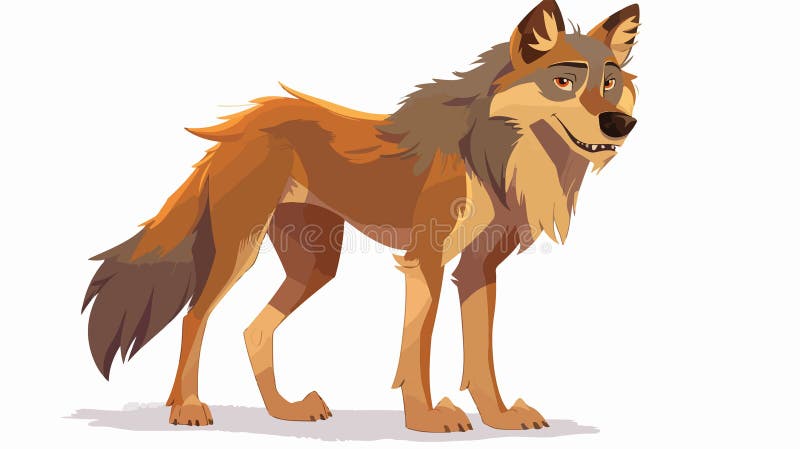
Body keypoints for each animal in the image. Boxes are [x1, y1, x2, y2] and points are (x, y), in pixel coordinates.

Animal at [82, 0, 640, 433]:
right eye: (564, 81)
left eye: (611, 83)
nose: (619, 123)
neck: (495, 156)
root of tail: (242, 121)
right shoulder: (426, 261)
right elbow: (417, 349)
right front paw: (426, 419)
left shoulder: (478, 270)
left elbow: (481, 356)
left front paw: (499, 418)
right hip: (240, 250)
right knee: (196, 317)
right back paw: (189, 408)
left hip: (315, 264)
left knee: (253, 329)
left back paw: (285, 410)